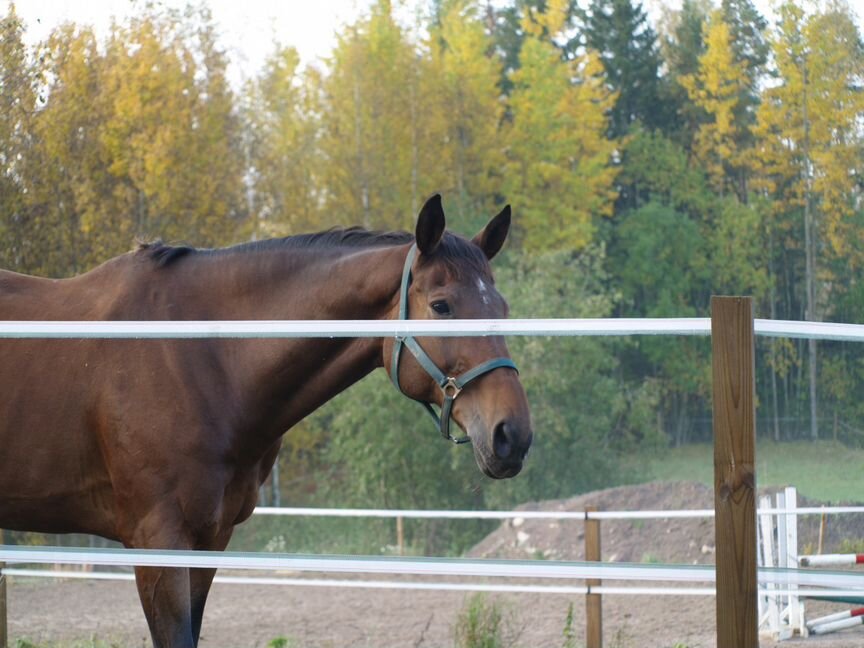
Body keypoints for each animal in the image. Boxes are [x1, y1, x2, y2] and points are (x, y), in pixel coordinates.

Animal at [0, 196, 532, 648]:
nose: (513, 435)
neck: (197, 354)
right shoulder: (157, 544)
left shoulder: (211, 541)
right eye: (441, 305)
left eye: (503, 308)